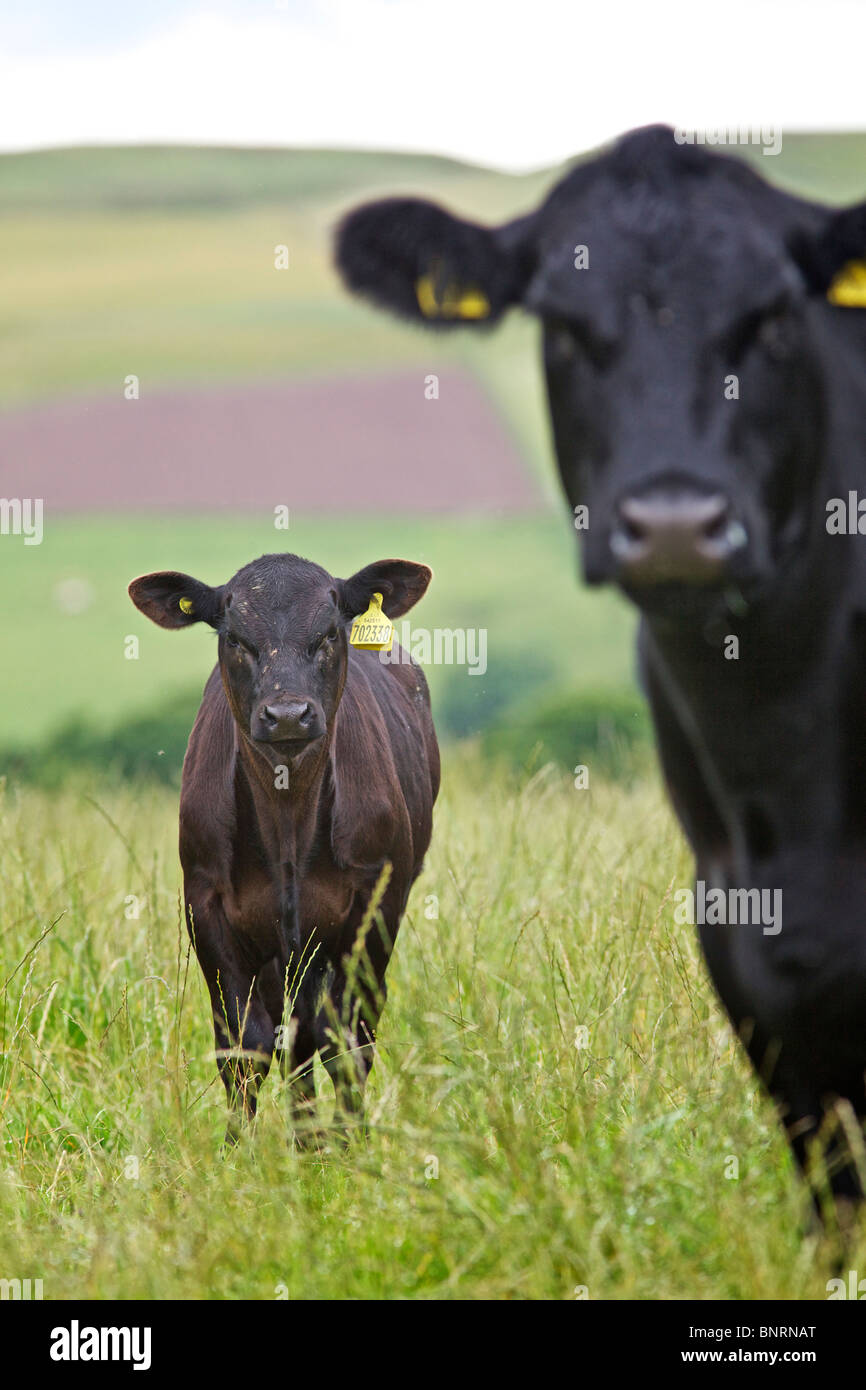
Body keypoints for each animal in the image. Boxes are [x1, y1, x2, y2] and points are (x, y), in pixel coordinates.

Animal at [128, 553, 439, 1144]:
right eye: (235, 638)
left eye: (328, 633)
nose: (289, 714)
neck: (289, 822)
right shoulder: (208, 909)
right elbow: (243, 1045)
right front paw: (240, 1152)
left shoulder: (373, 909)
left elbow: (346, 1039)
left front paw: (350, 1146)